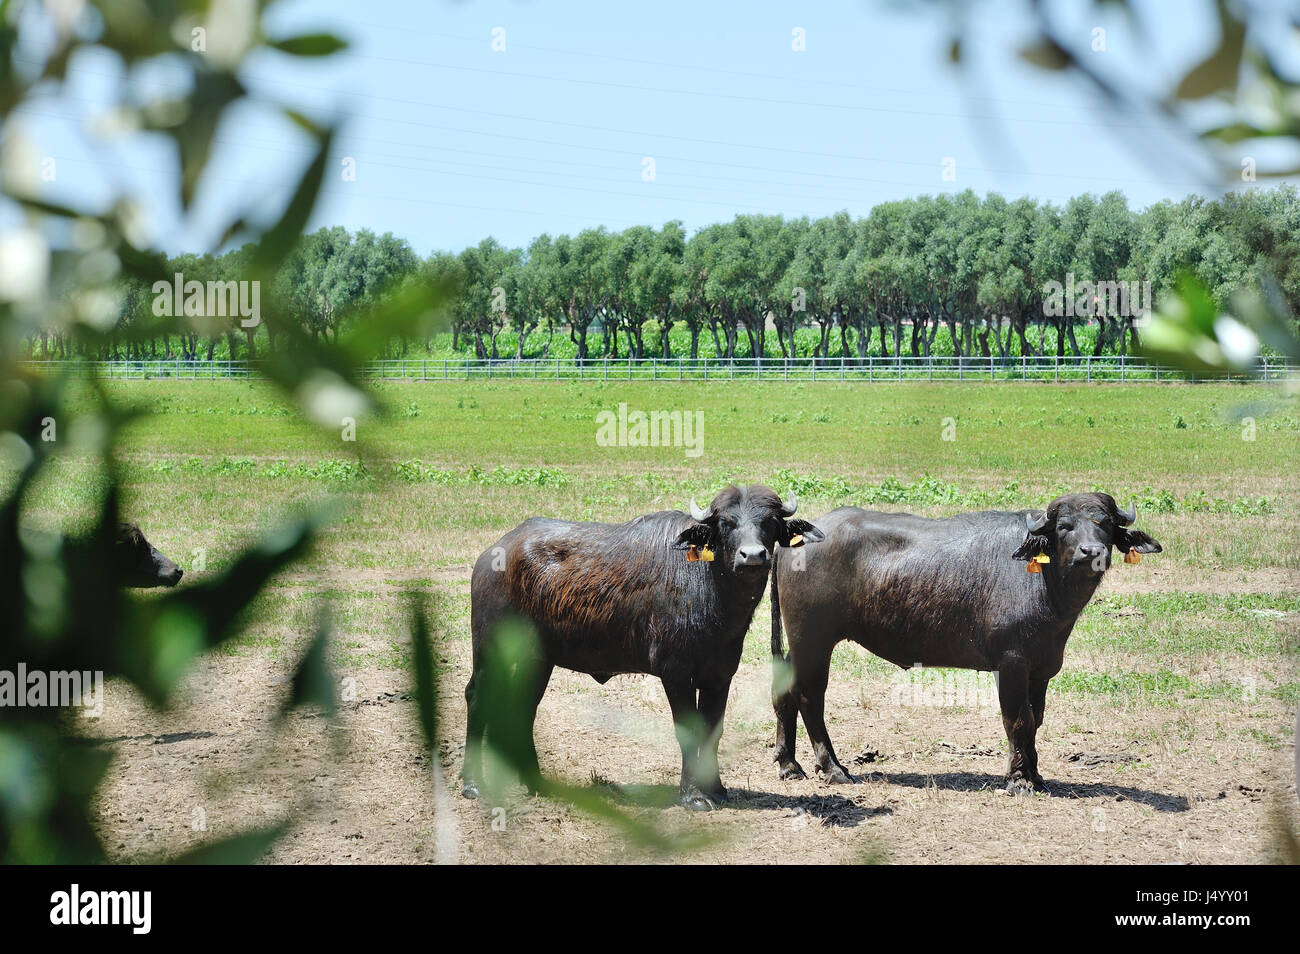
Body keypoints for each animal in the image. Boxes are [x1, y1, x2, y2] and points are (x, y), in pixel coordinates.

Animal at [462, 484, 823, 808]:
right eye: (726, 523)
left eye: (770, 522)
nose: (753, 556)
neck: (711, 589)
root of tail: (494, 552)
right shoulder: (674, 672)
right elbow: (687, 731)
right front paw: (693, 795)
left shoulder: (720, 675)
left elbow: (712, 732)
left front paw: (716, 789)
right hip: (488, 646)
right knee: (477, 695)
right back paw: (473, 783)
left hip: (537, 659)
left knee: (524, 707)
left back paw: (536, 782)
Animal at [770, 493, 1161, 793]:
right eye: (1064, 526)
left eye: (1105, 524)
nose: (1090, 551)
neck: (1047, 584)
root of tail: (791, 542)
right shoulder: (1011, 663)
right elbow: (1018, 720)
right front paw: (1018, 780)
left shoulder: (1041, 671)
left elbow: (1036, 720)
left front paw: (1035, 775)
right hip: (813, 640)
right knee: (810, 696)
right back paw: (832, 768)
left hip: (801, 644)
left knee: (784, 691)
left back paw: (789, 764)